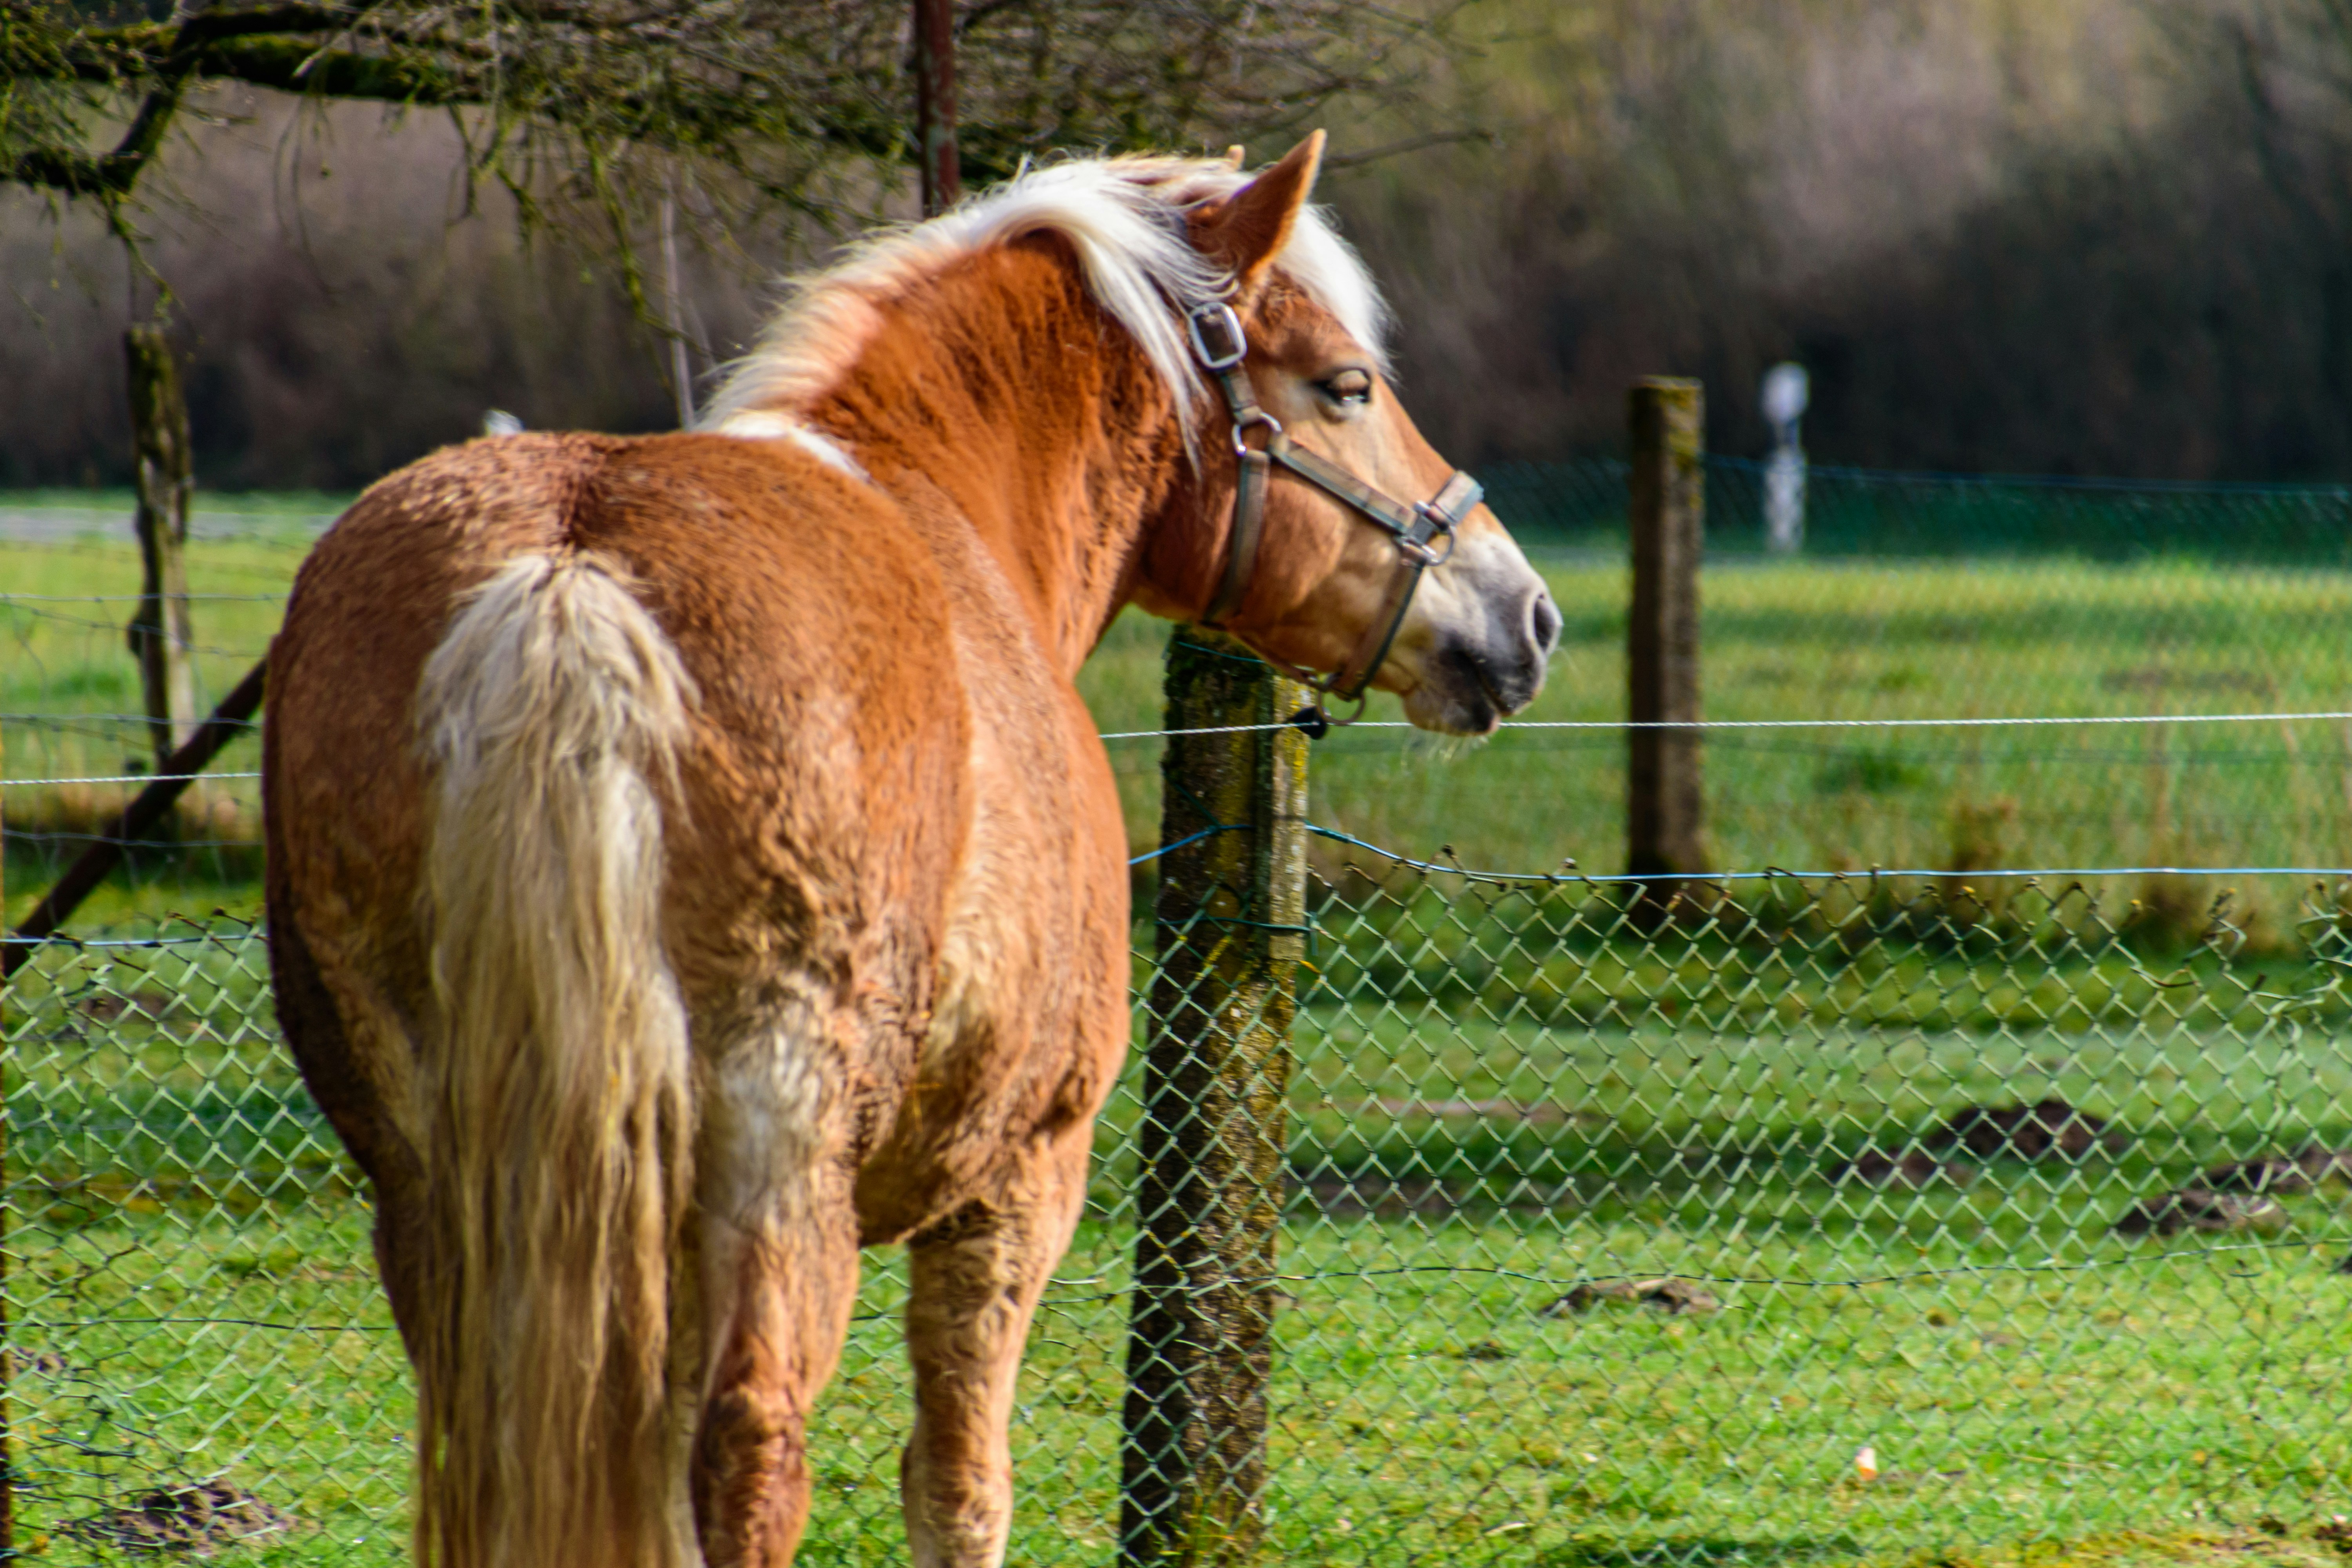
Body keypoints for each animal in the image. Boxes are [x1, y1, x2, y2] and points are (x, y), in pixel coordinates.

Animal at [261, 132, 1558, 1568]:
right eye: (1348, 386)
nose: (1525, 613)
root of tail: (569, 572)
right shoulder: (1018, 1183)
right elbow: (958, 1484)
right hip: (782, 1167)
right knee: (754, 1451)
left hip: (451, 1190)